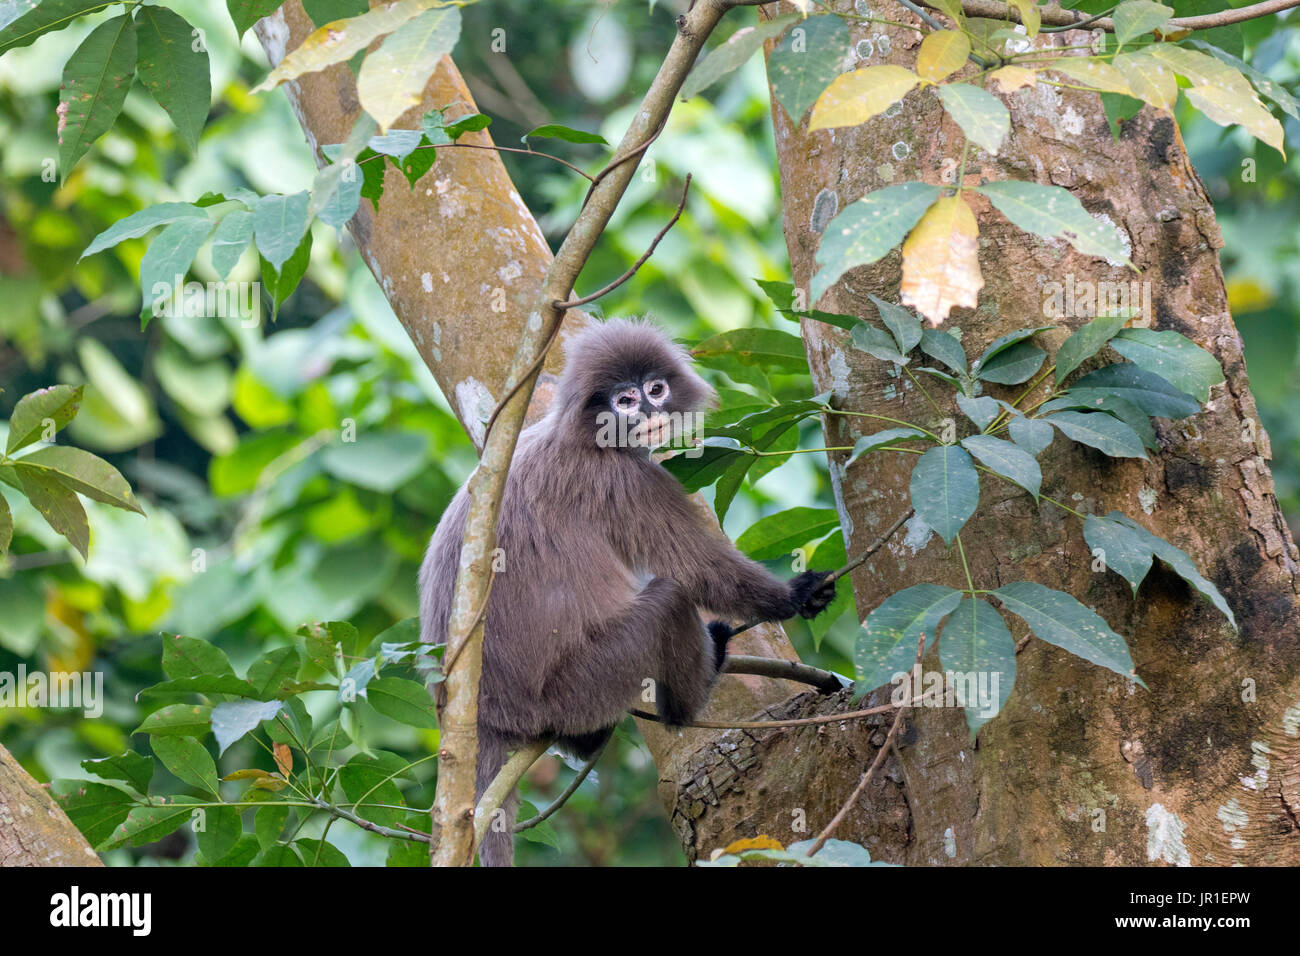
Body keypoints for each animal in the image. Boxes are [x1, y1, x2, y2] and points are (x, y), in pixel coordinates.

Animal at [418, 317, 836, 866]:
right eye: (625, 399)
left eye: (655, 389)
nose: (651, 411)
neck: (580, 436)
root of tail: (479, 715)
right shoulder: (621, 479)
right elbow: (700, 570)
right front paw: (792, 596)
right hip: (578, 686)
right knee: (670, 601)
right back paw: (691, 699)